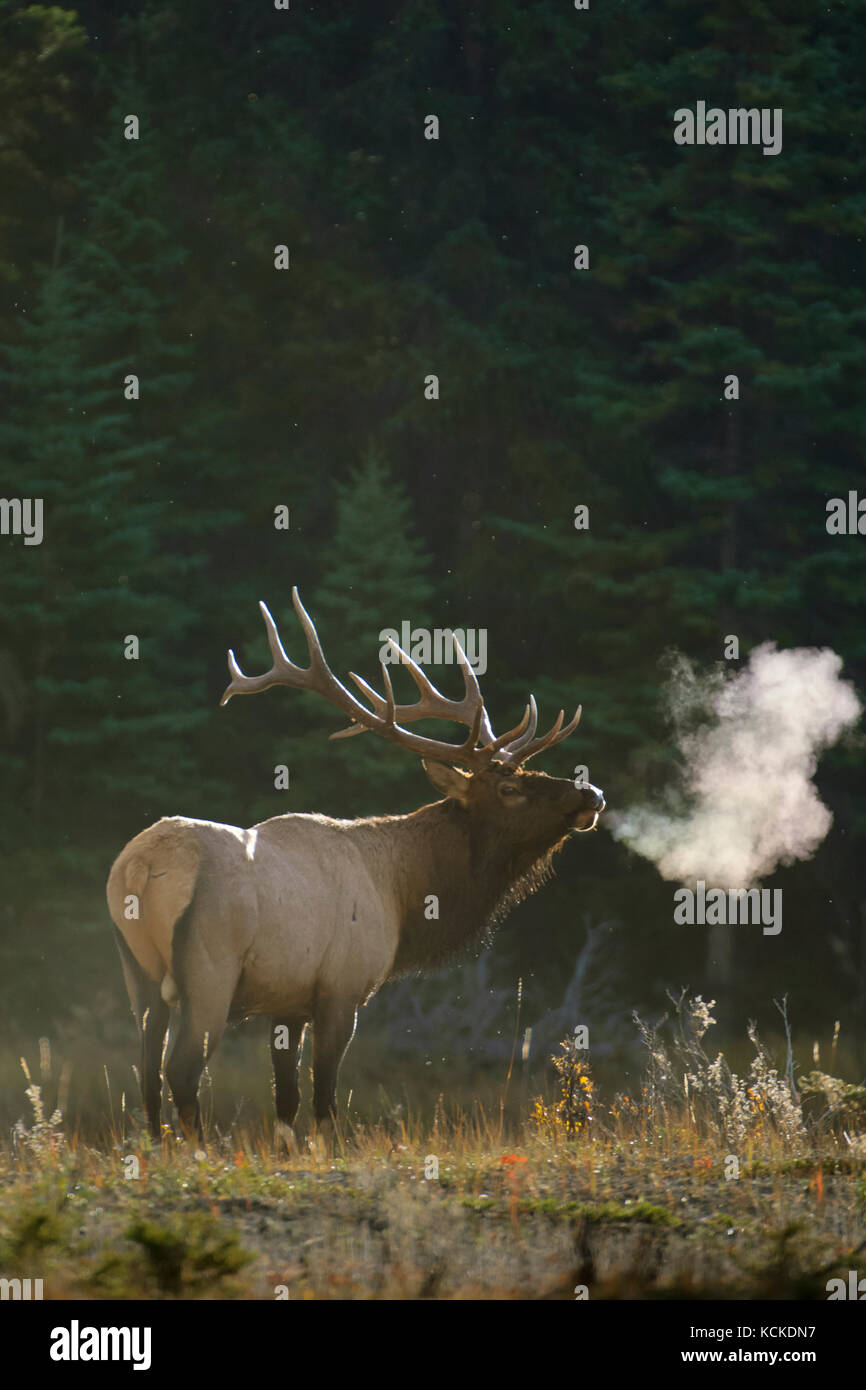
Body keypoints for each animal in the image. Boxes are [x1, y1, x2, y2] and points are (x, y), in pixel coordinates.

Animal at [107, 588, 605, 1141]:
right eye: (509, 788)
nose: (592, 793)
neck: (402, 893)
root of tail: (139, 867)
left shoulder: (287, 1003)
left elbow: (286, 1104)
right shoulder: (342, 988)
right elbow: (324, 1100)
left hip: (137, 972)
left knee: (147, 1070)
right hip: (209, 968)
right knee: (181, 1070)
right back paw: (198, 1150)